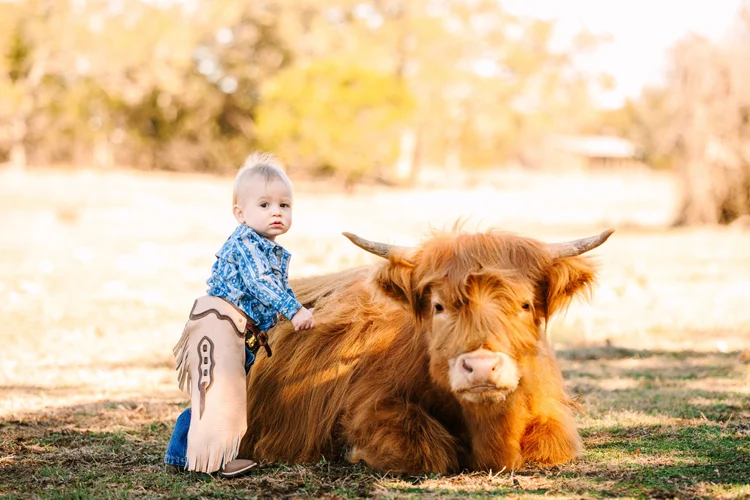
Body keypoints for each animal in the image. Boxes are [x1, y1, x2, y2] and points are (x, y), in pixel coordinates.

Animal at [238, 228, 613, 474]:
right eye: (438, 306)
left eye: (524, 304)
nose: (481, 367)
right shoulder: (370, 403)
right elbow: (424, 450)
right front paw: (354, 452)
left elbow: (552, 444)